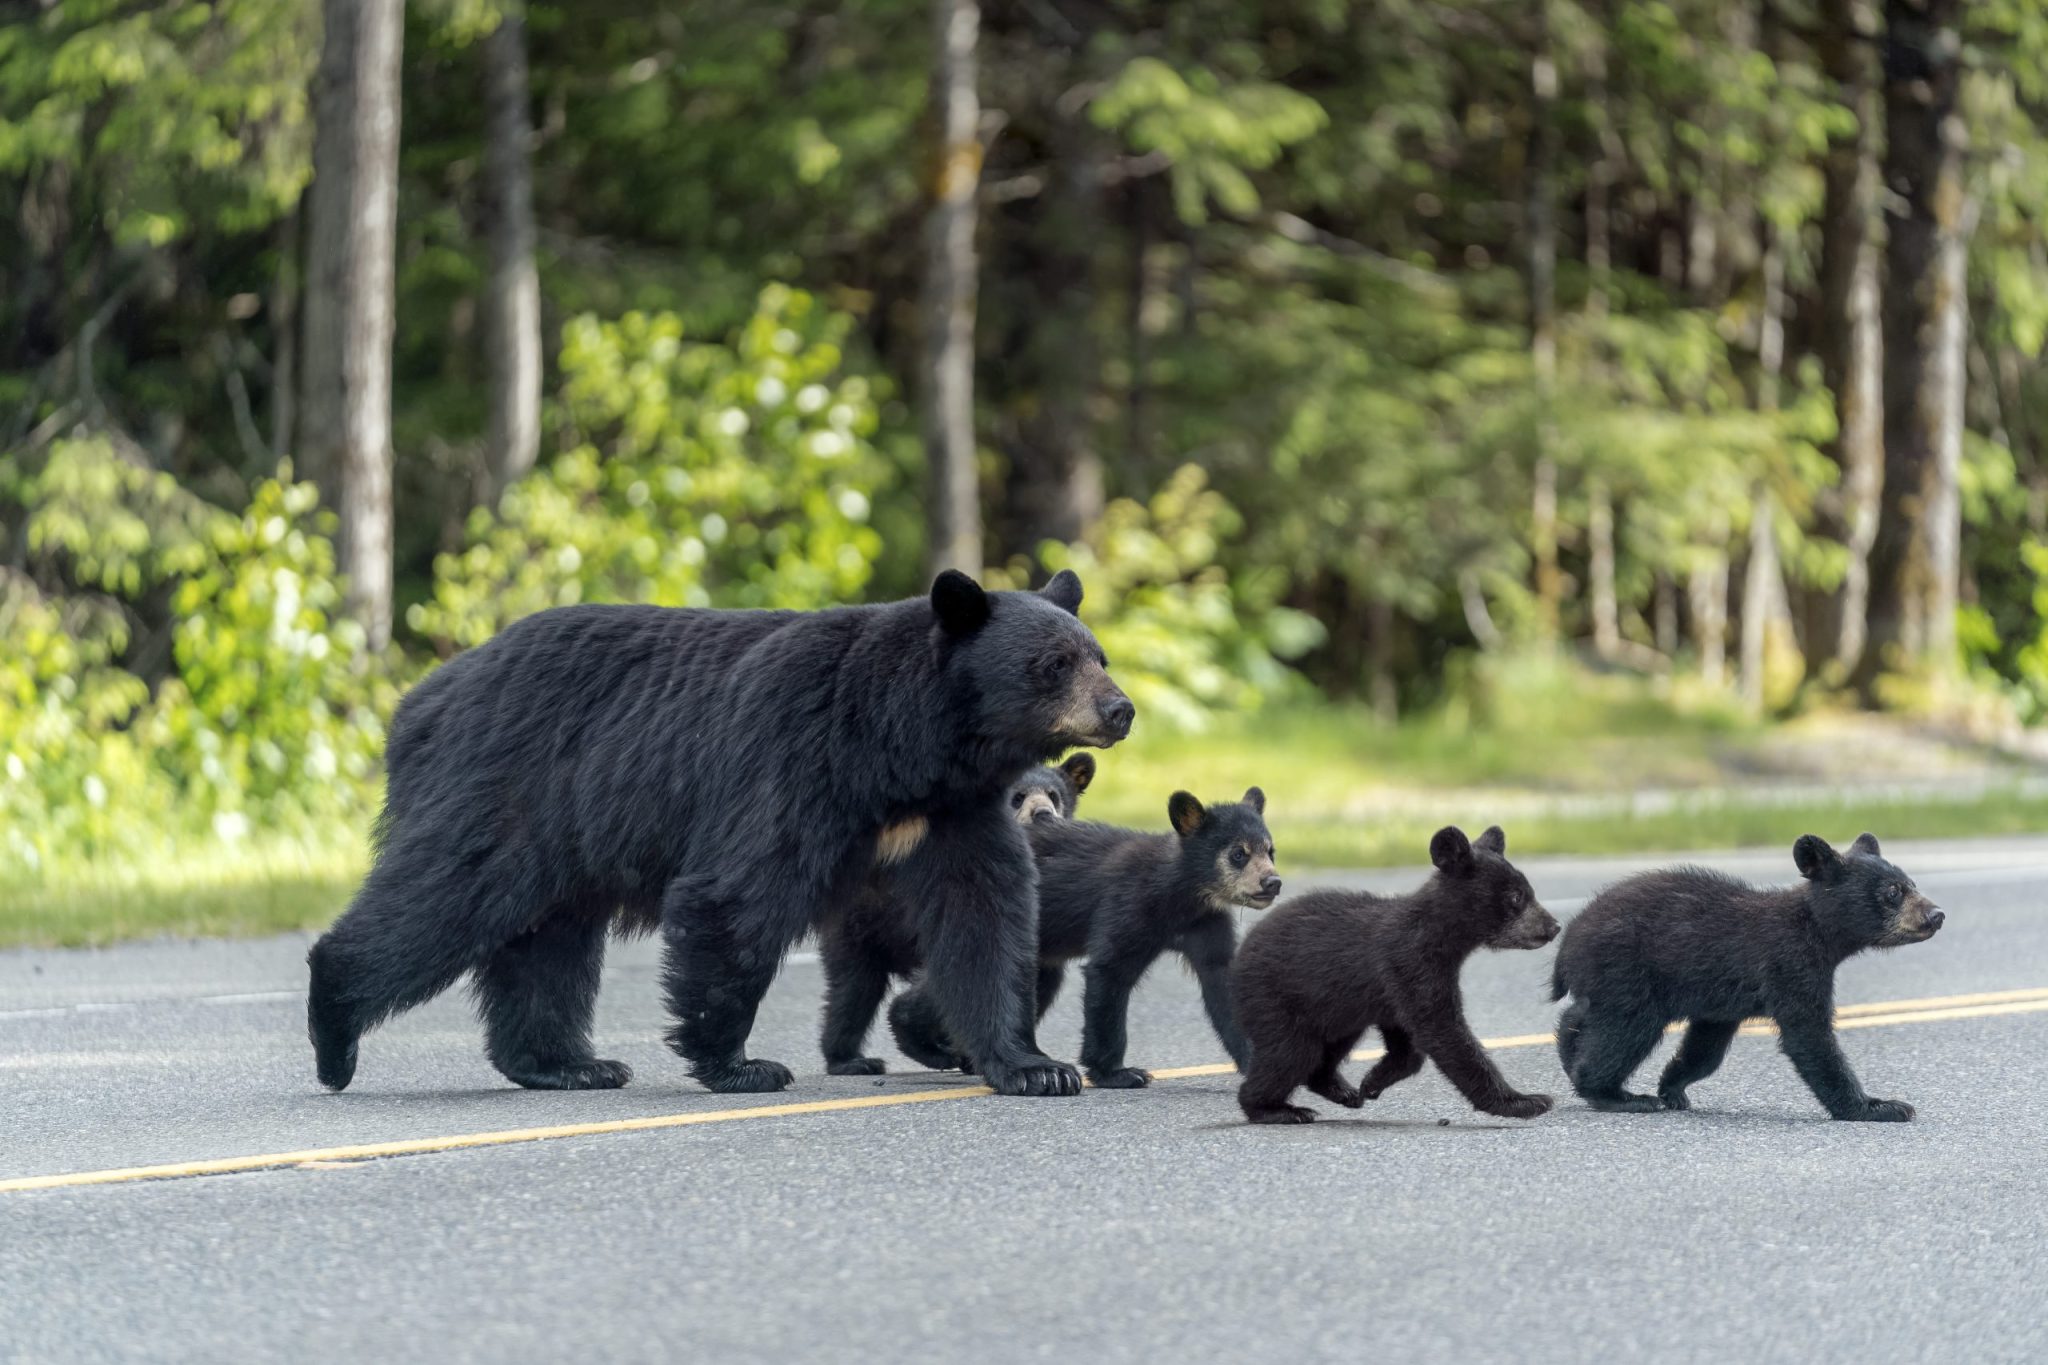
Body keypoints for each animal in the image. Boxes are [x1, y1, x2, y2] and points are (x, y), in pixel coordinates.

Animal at [817, 753, 1096, 1076]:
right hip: (861, 929)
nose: (1044, 814)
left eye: (1054, 795)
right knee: (854, 990)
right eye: (1018, 797)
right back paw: (852, 1058)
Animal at [886, 787, 1280, 1087]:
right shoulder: (1130, 904)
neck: (1182, 894)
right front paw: (1119, 1073)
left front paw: (1256, 1060)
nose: (1272, 882)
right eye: (1238, 853)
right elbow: (1108, 971)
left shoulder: (1206, 923)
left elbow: (1222, 981)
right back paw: (924, 1042)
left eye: (1270, 850)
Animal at [1228, 825, 1559, 1125]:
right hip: (1275, 999)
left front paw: (1372, 1082)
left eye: (1529, 892)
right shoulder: (1410, 965)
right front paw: (1524, 1101)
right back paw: (1276, 1109)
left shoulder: (1397, 987)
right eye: (1516, 897)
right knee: (1291, 1054)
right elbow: (1443, 1031)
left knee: (1328, 1048)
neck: (1440, 937)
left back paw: (1343, 1090)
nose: (1553, 926)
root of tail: (1240, 954)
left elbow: (1407, 1043)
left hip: (1336, 1012)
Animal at [1550, 832, 1944, 1121]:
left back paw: (1571, 1052)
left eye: (1910, 882)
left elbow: (1706, 1046)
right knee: (1626, 1030)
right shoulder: (1789, 966)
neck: (1816, 931)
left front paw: (1673, 1088)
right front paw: (1876, 1106)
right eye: (1892, 892)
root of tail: (1568, 939)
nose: (1936, 914)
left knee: (1584, 1014)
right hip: (1627, 972)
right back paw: (1616, 1094)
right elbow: (1810, 1036)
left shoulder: (1721, 999)